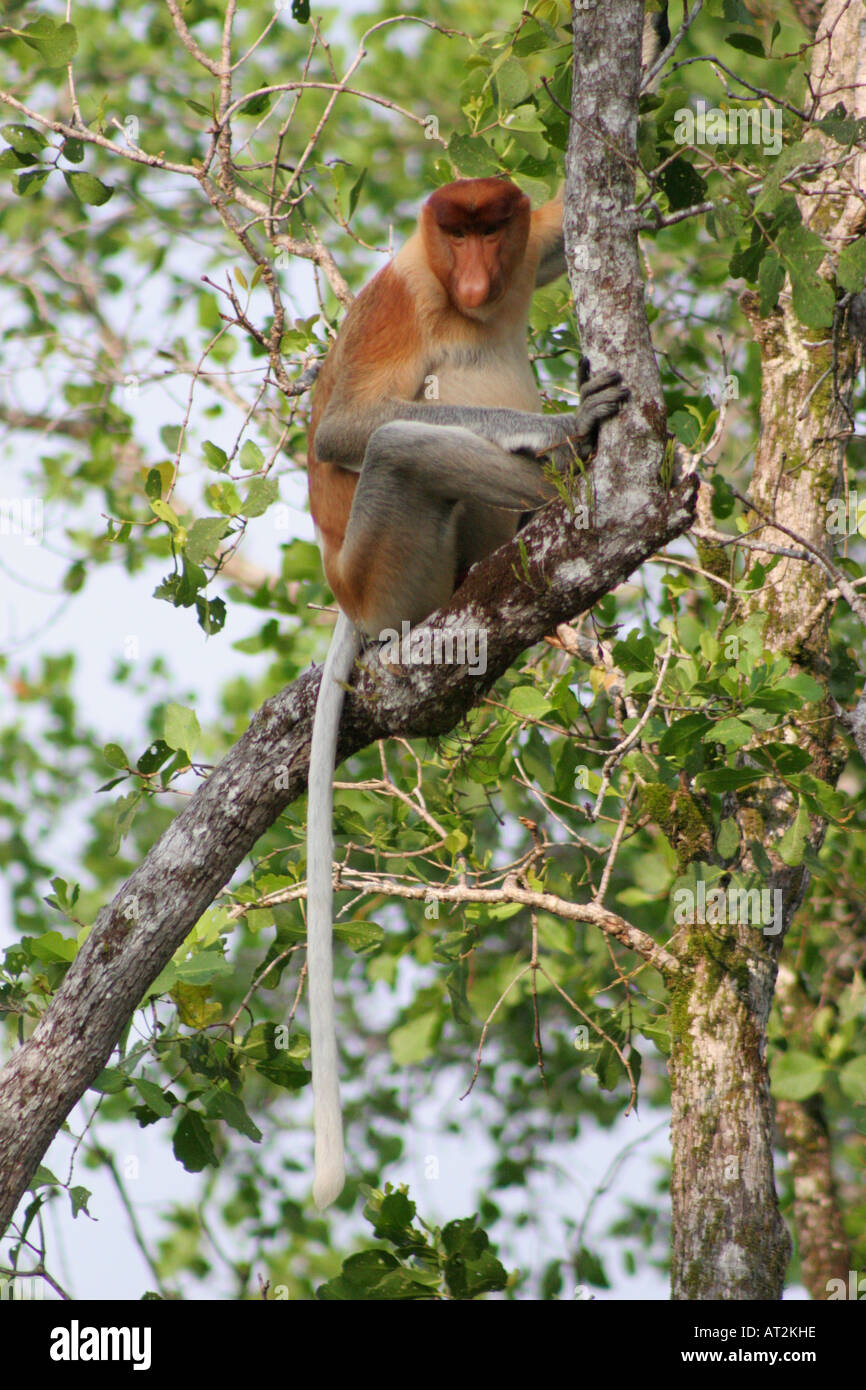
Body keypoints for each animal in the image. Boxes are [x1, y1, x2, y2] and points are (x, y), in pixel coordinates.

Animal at [305, 177, 629, 1209]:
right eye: (456, 233)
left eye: (494, 228)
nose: (481, 275)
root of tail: (347, 594)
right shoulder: (399, 297)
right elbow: (346, 428)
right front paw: (560, 427)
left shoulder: (531, 256)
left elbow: (565, 228)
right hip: (390, 570)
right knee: (404, 442)